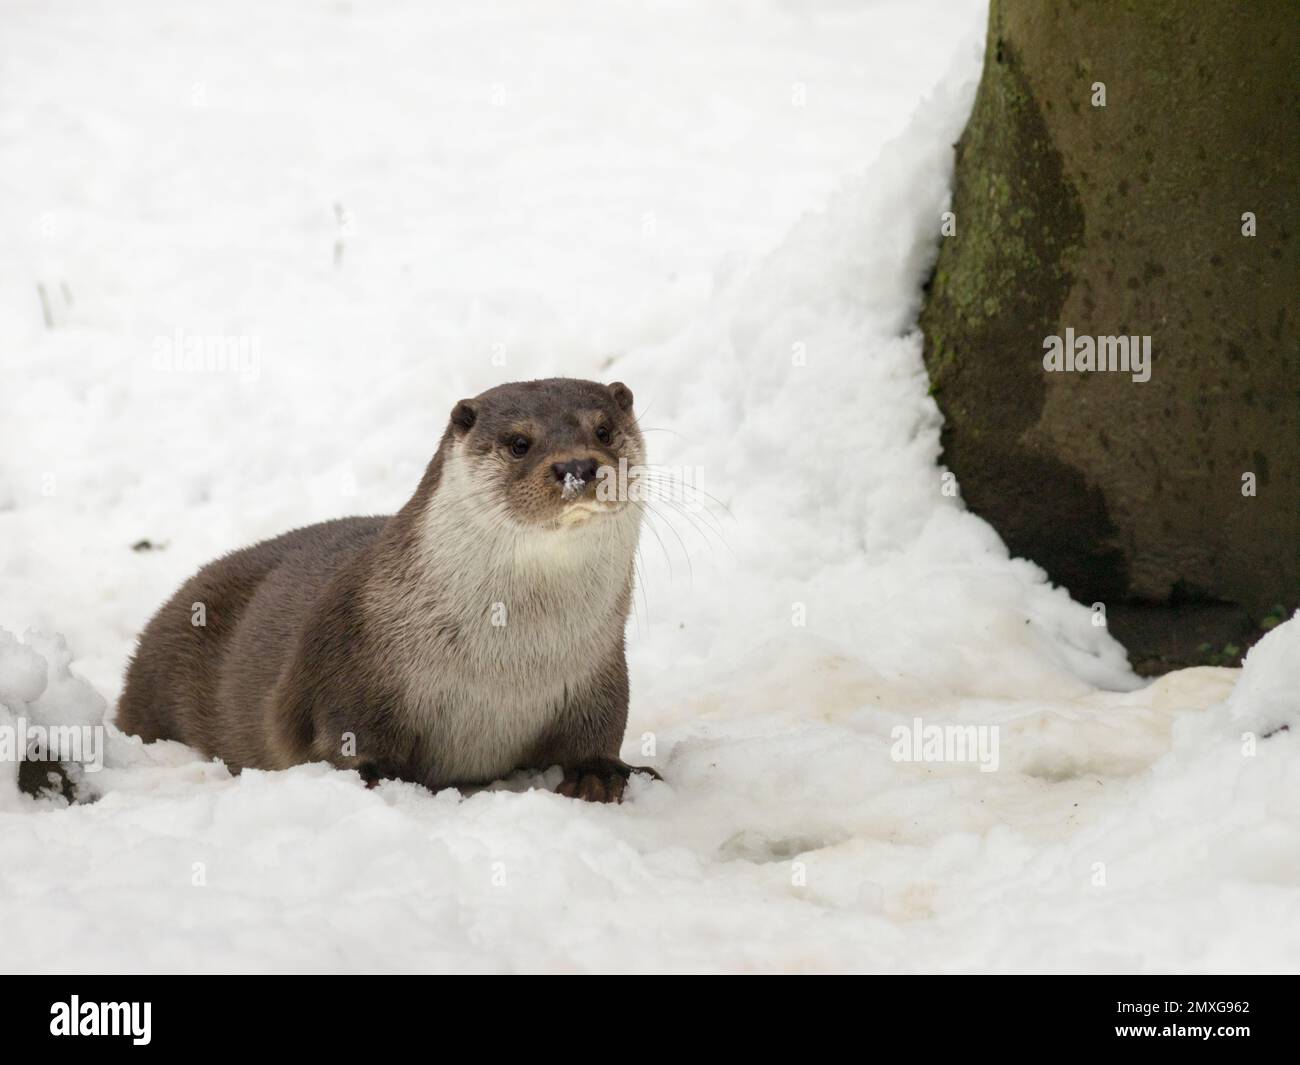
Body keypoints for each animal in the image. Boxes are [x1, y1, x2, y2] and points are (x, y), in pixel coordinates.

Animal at [115, 378, 658, 803]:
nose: (578, 467)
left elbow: (601, 727)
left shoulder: (599, 670)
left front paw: (599, 774)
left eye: (604, 430)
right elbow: (339, 736)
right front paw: (380, 777)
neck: (508, 663)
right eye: (519, 442)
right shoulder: (349, 660)